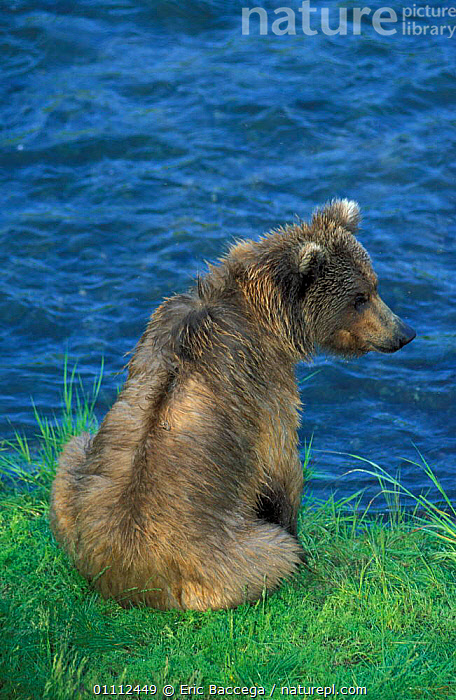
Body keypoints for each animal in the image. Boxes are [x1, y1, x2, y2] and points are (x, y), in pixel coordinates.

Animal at [49, 199, 415, 611]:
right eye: (359, 297)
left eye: (375, 285)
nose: (405, 333)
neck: (264, 314)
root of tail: (129, 582)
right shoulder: (267, 386)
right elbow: (281, 465)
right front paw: (302, 540)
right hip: (232, 559)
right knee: (272, 551)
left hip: (73, 484)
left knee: (71, 449)